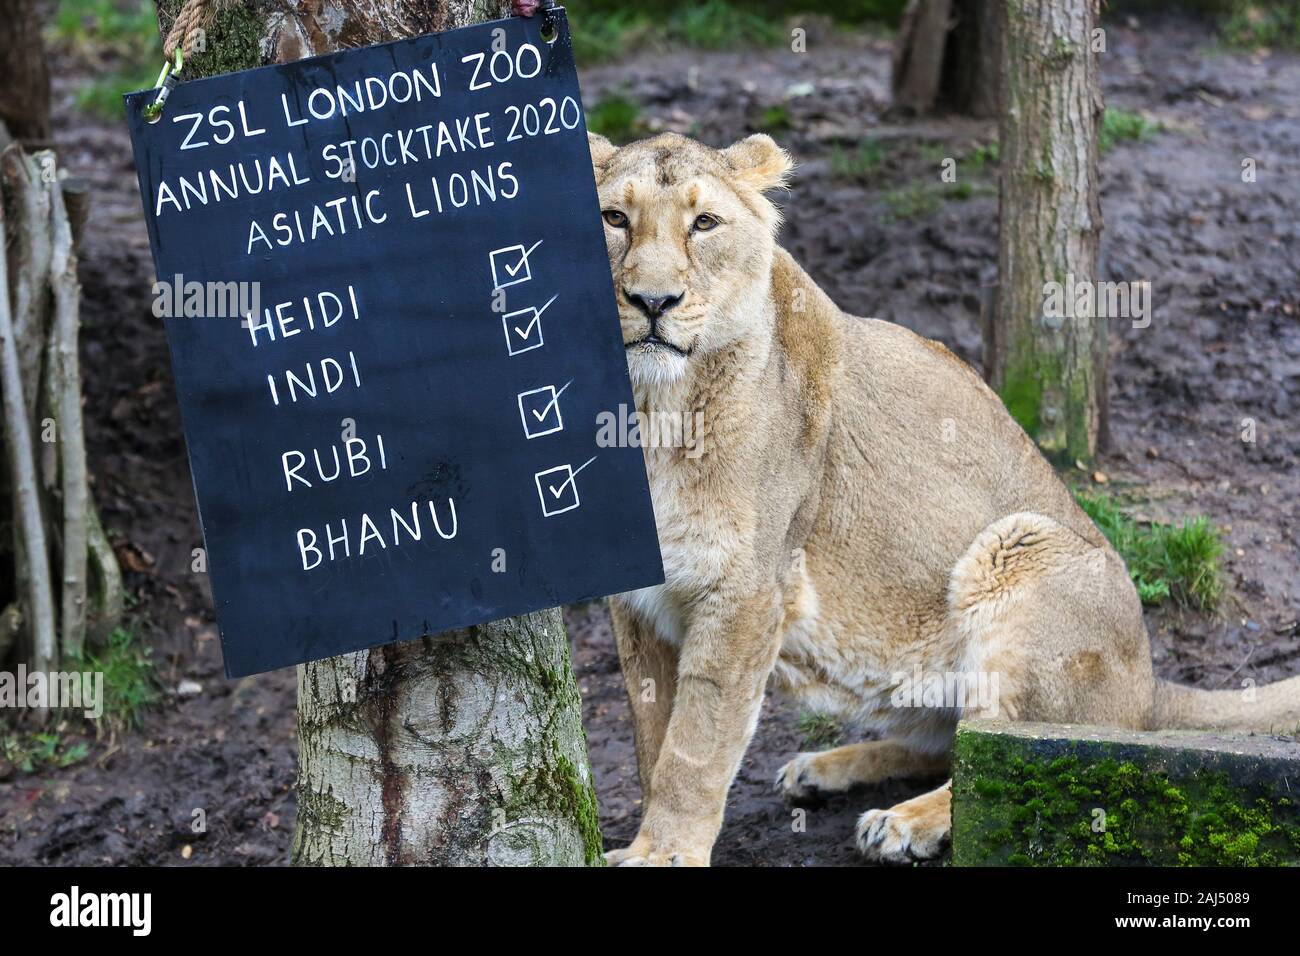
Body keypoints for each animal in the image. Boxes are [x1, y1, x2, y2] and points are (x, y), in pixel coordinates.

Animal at [588, 130, 1300, 866]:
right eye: (614, 218)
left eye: (704, 223)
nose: (652, 301)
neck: (651, 409)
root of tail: (1150, 686)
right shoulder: (639, 602)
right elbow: (652, 734)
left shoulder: (749, 591)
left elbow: (694, 746)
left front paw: (661, 853)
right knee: (946, 743)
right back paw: (824, 769)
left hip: (1023, 547)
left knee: (1002, 753)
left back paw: (903, 822)